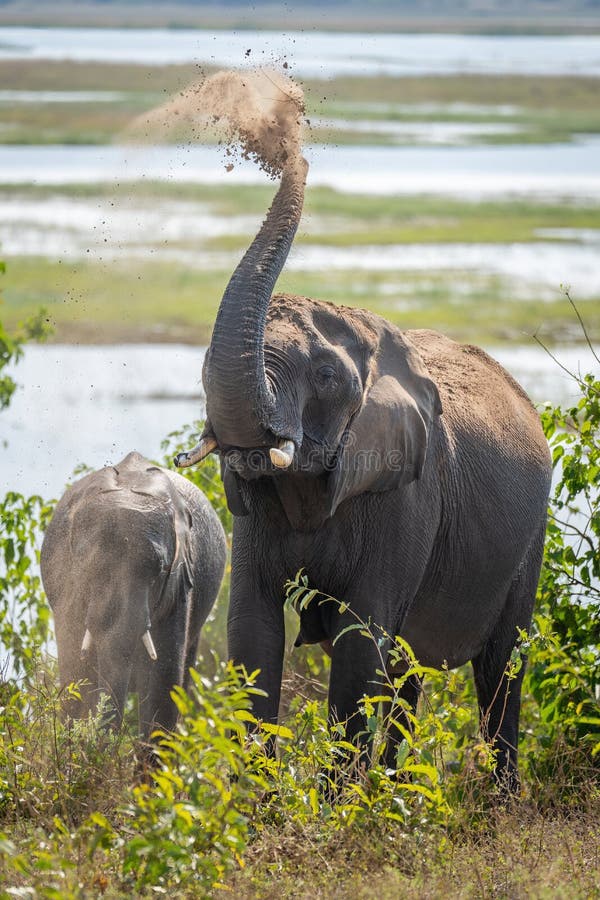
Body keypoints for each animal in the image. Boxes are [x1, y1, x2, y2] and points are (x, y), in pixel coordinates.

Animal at [41, 451, 227, 740]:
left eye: (160, 569)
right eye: (88, 568)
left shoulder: (178, 586)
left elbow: (162, 684)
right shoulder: (67, 582)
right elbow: (77, 676)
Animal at [175, 155, 552, 788]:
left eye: (326, 376)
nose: (296, 154)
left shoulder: (407, 496)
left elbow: (359, 642)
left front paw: (329, 808)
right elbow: (252, 632)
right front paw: (259, 803)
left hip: (529, 541)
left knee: (500, 672)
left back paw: (496, 798)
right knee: (407, 675)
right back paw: (394, 794)